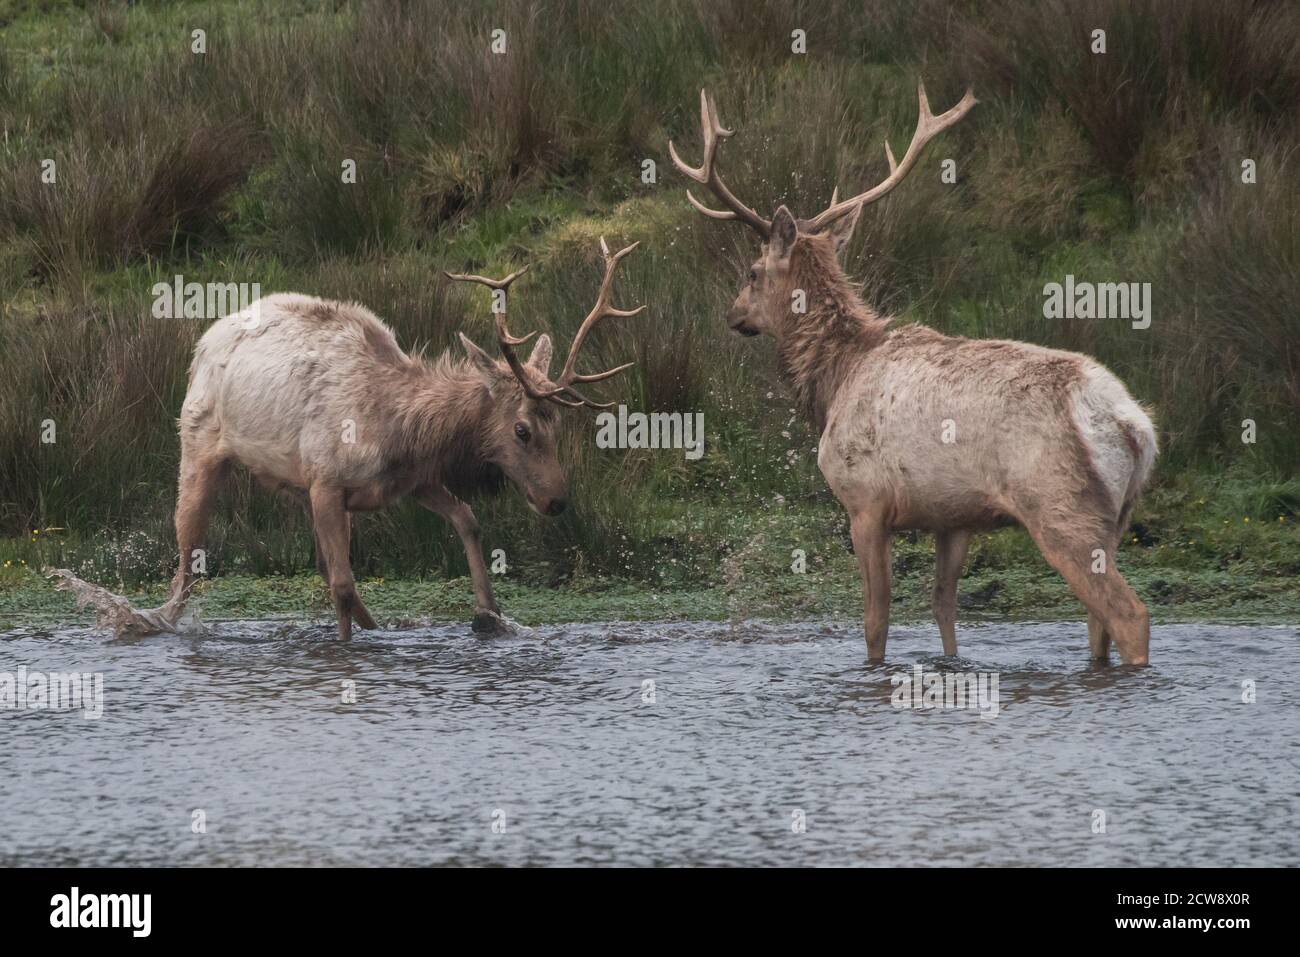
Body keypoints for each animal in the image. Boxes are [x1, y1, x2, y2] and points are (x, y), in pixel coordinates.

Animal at [49, 238, 645, 640]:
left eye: (557, 425)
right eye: (522, 429)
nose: (557, 500)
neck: (398, 428)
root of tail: (203, 341)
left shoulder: (406, 482)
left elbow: (467, 520)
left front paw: (488, 613)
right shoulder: (328, 482)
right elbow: (342, 585)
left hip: (294, 486)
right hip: (198, 445)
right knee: (185, 563)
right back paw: (140, 616)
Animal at [670, 87, 1157, 665]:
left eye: (751, 272)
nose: (732, 315)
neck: (836, 379)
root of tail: (1135, 427)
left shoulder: (865, 499)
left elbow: (875, 620)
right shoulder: (954, 516)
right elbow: (943, 609)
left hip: (1062, 506)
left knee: (1129, 614)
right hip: (1118, 515)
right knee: (1097, 625)